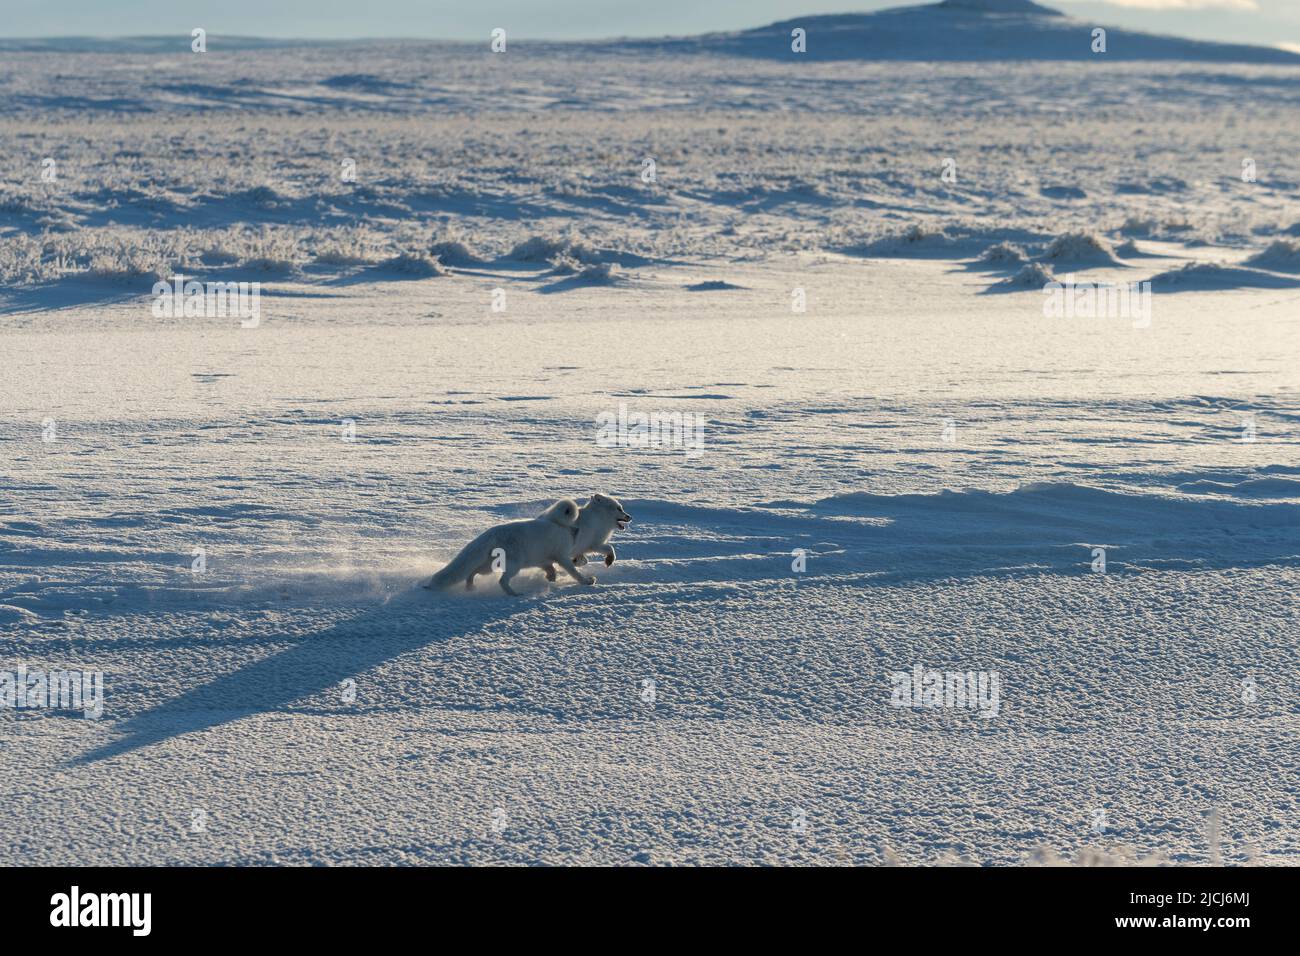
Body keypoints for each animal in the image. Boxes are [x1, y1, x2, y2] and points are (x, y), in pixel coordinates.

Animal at [423, 499, 590, 596]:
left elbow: (550, 568)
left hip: (488, 566)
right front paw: (586, 581)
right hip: (513, 565)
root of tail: (490, 533)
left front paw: (551, 577)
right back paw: (513, 594)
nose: (587, 562)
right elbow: (573, 572)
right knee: (502, 581)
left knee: (472, 572)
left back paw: (470, 587)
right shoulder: (562, 556)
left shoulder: (542, 560)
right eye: (582, 556)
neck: (567, 533)